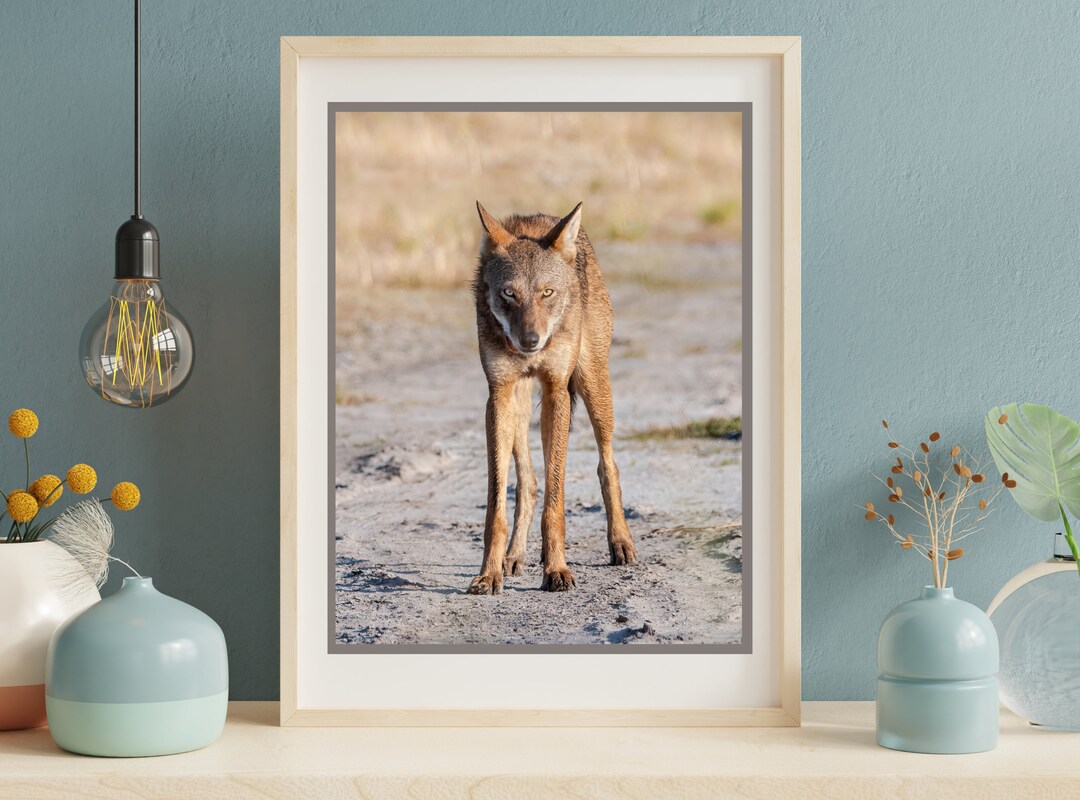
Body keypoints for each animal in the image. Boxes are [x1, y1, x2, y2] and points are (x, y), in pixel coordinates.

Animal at [468, 201, 637, 594]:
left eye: (547, 292)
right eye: (509, 293)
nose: (531, 341)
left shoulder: (557, 390)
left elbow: (556, 501)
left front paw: (556, 570)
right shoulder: (498, 393)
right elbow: (497, 504)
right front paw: (489, 574)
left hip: (594, 387)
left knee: (608, 465)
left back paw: (621, 542)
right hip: (518, 404)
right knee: (527, 484)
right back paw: (514, 557)